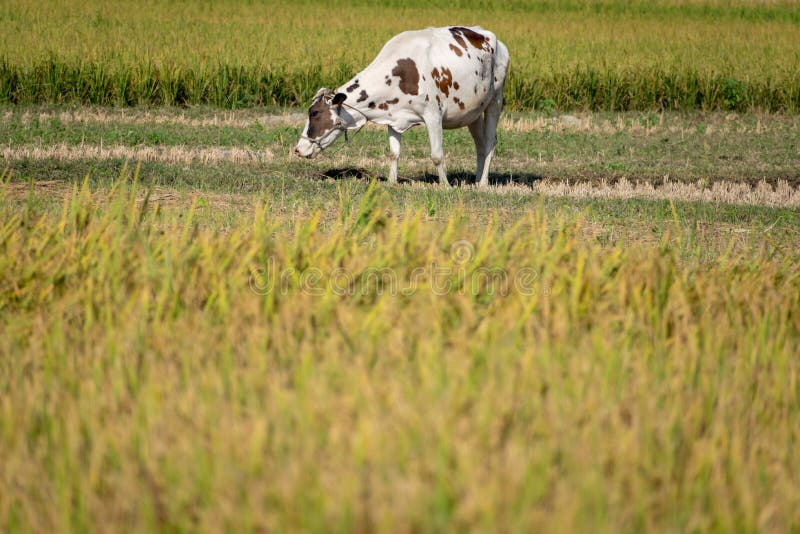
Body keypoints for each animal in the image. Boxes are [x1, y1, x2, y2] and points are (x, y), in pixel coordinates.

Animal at [294, 26, 510, 187]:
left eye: (314, 113)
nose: (297, 149)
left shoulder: (433, 115)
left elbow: (437, 155)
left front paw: (446, 186)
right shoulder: (393, 117)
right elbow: (393, 153)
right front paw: (391, 182)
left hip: (495, 99)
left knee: (490, 142)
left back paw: (483, 184)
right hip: (473, 111)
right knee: (480, 144)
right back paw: (476, 180)